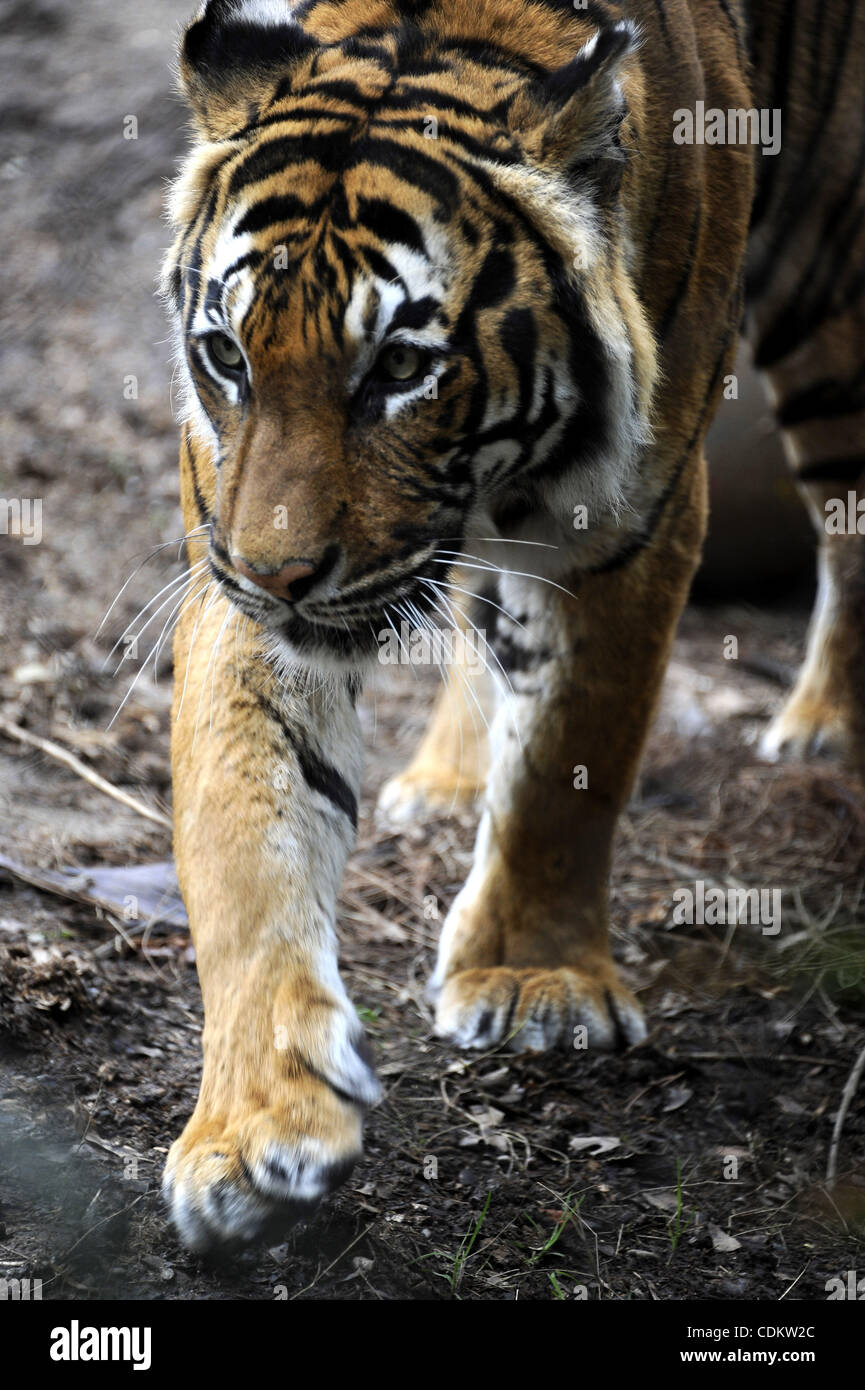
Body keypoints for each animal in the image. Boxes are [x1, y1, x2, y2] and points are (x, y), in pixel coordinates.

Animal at [159, 0, 865, 1251]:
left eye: (399, 366)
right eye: (226, 354)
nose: (278, 575)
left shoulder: (636, 512)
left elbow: (567, 758)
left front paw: (537, 983)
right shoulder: (229, 573)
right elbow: (247, 837)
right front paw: (253, 1127)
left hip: (829, 277)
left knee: (848, 520)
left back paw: (825, 722)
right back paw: (442, 778)